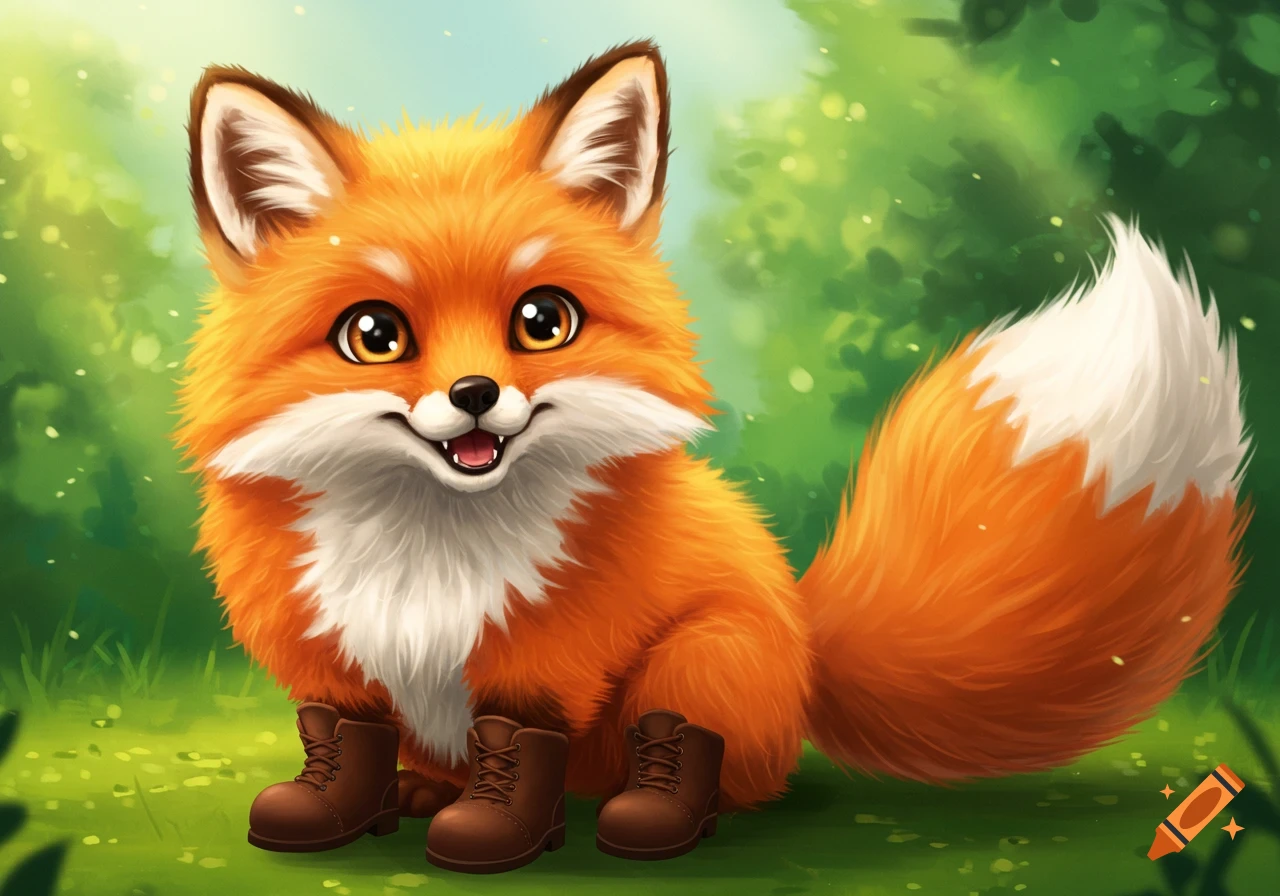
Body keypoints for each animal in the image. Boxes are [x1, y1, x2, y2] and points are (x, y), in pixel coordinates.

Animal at [177, 41, 1250, 874]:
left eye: (542, 320)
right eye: (375, 335)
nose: (476, 394)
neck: (428, 552)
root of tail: (807, 645)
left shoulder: (550, 653)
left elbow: (518, 743)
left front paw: (498, 832)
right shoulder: (329, 652)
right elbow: (342, 738)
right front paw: (332, 807)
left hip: (707, 652)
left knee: (692, 749)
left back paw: (653, 816)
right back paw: (422, 791)